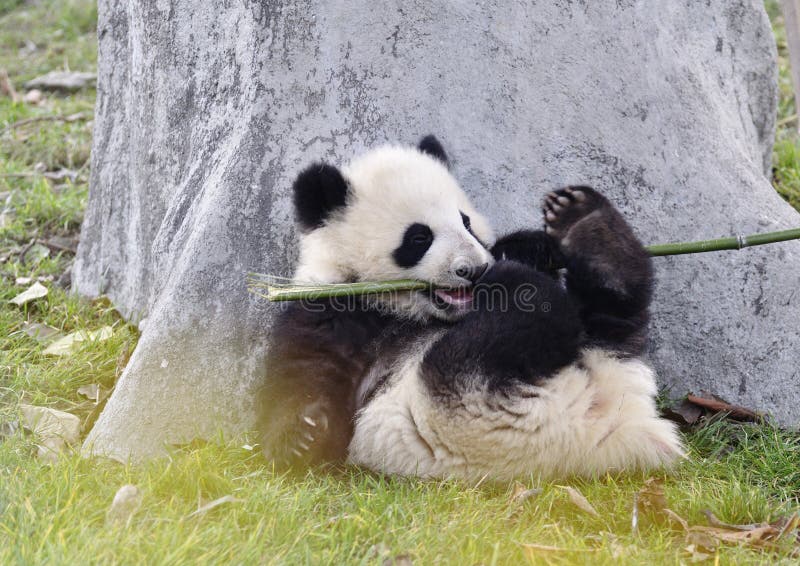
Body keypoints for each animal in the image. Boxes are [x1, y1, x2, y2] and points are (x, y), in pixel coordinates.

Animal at [256, 136, 684, 481]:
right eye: (419, 238)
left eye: (466, 223)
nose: (475, 270)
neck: (405, 310)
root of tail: (604, 427)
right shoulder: (331, 308)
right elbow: (305, 372)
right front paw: (302, 436)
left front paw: (528, 247)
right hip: (468, 404)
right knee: (508, 333)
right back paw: (518, 285)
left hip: (598, 354)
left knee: (614, 306)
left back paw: (586, 225)